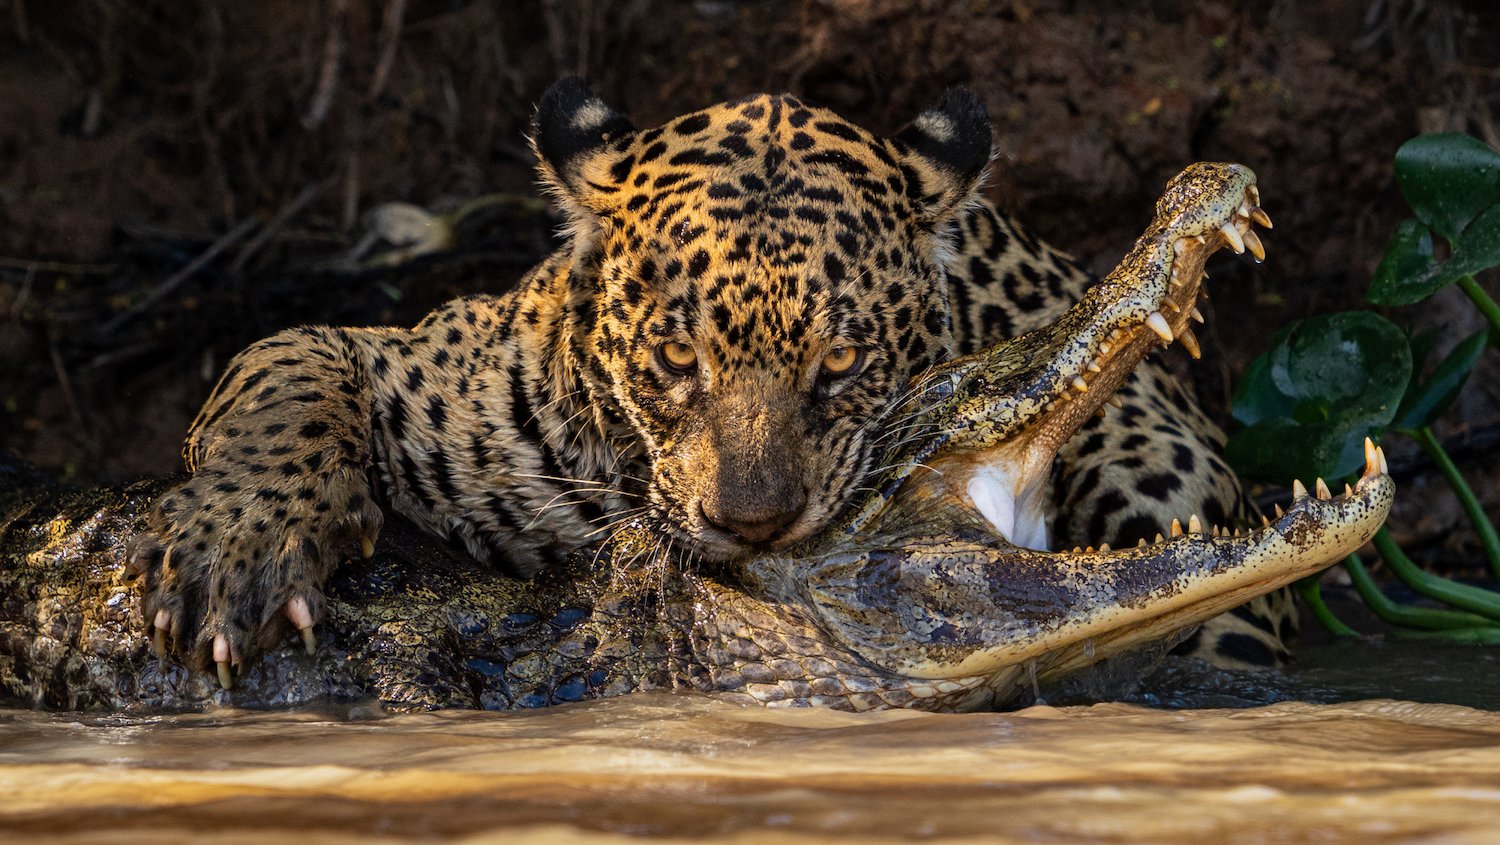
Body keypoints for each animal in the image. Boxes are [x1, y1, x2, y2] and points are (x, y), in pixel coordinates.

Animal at [129, 77, 1292, 683]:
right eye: (676, 359)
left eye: (841, 363)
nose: (754, 525)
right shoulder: (408, 361)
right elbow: (287, 381)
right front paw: (240, 552)